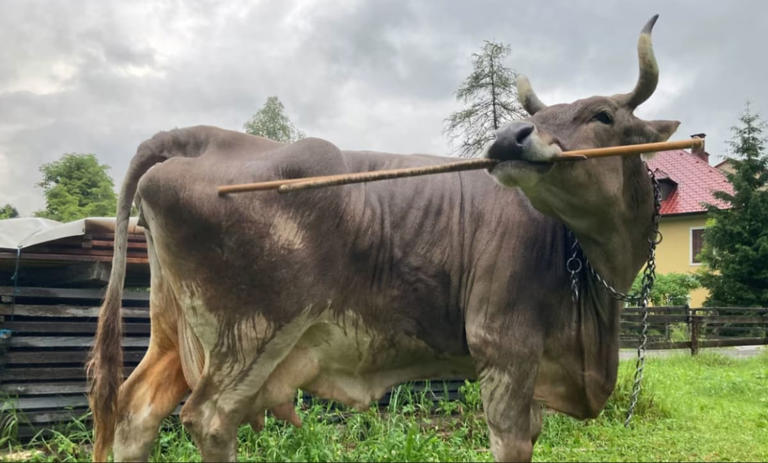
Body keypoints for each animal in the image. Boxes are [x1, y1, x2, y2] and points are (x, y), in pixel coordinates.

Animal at [88, 15, 679, 462]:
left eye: (602, 114)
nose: (510, 137)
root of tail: (200, 136)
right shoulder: (503, 348)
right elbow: (511, 443)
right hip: (250, 334)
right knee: (209, 418)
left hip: (175, 331)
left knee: (137, 412)